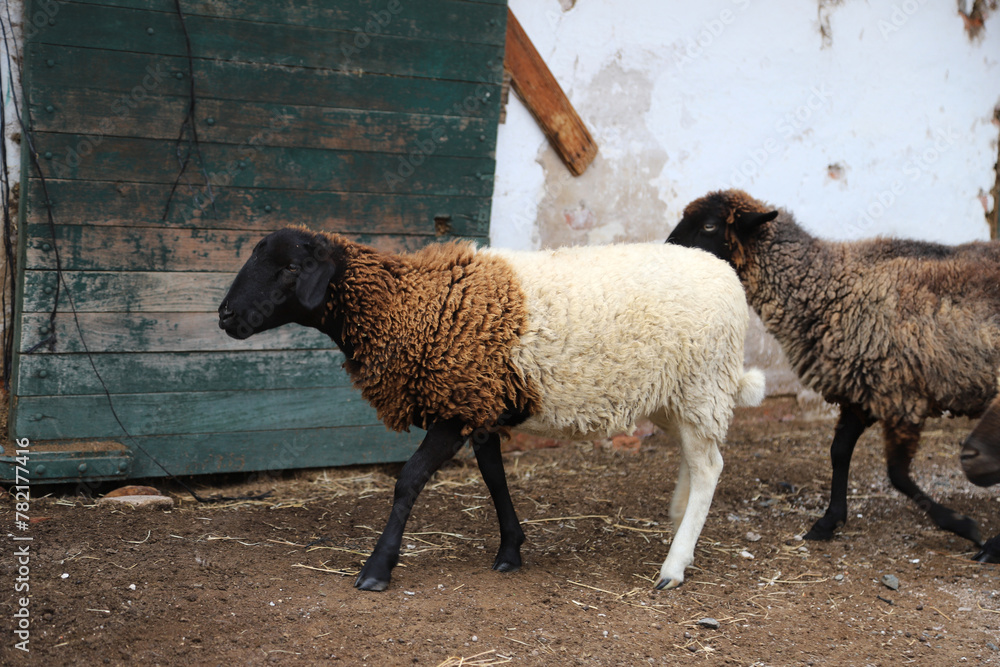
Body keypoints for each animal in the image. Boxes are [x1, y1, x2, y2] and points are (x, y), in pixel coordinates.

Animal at [218, 227, 766, 591]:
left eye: (291, 267)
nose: (225, 316)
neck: (405, 305)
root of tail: (726, 276)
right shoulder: (479, 403)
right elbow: (494, 477)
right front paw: (510, 550)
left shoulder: (455, 407)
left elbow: (408, 480)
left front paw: (377, 568)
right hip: (676, 395)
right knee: (697, 463)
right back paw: (677, 531)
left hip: (702, 387)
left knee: (710, 467)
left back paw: (673, 566)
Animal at [666, 189, 1000, 549]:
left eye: (710, 226)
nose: (667, 249)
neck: (827, 285)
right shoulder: (860, 391)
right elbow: (839, 452)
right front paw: (828, 521)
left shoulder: (899, 395)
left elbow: (897, 475)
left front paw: (961, 525)